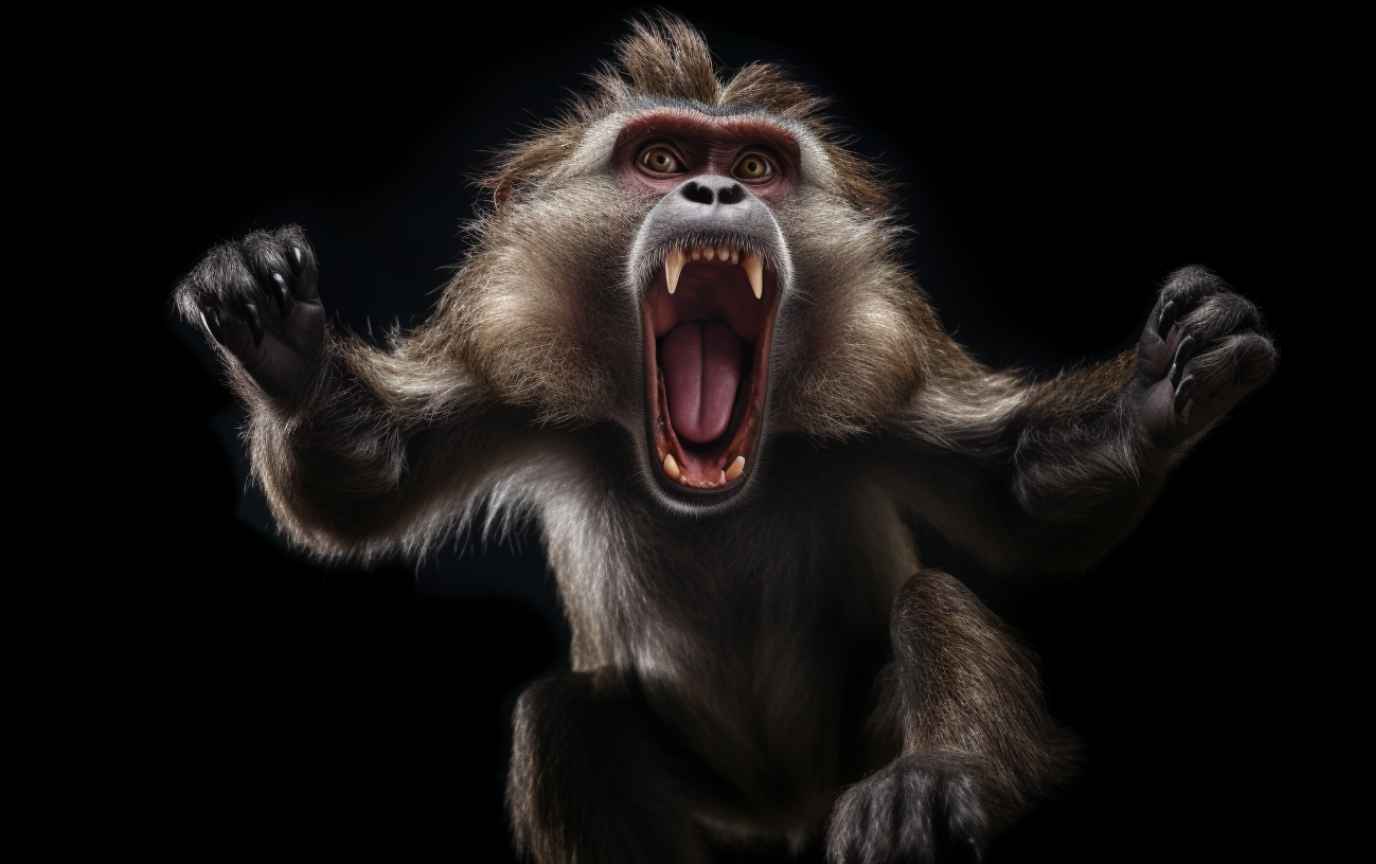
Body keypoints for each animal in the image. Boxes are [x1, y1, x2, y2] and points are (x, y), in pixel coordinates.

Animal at [170, 14, 1277, 863]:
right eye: (660, 159)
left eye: (754, 164)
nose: (713, 192)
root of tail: (786, 810)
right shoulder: (508, 378)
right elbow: (367, 481)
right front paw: (286, 351)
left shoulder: (883, 373)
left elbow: (1018, 495)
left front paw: (1158, 387)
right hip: (717, 815)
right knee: (562, 718)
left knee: (928, 604)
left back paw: (936, 777)